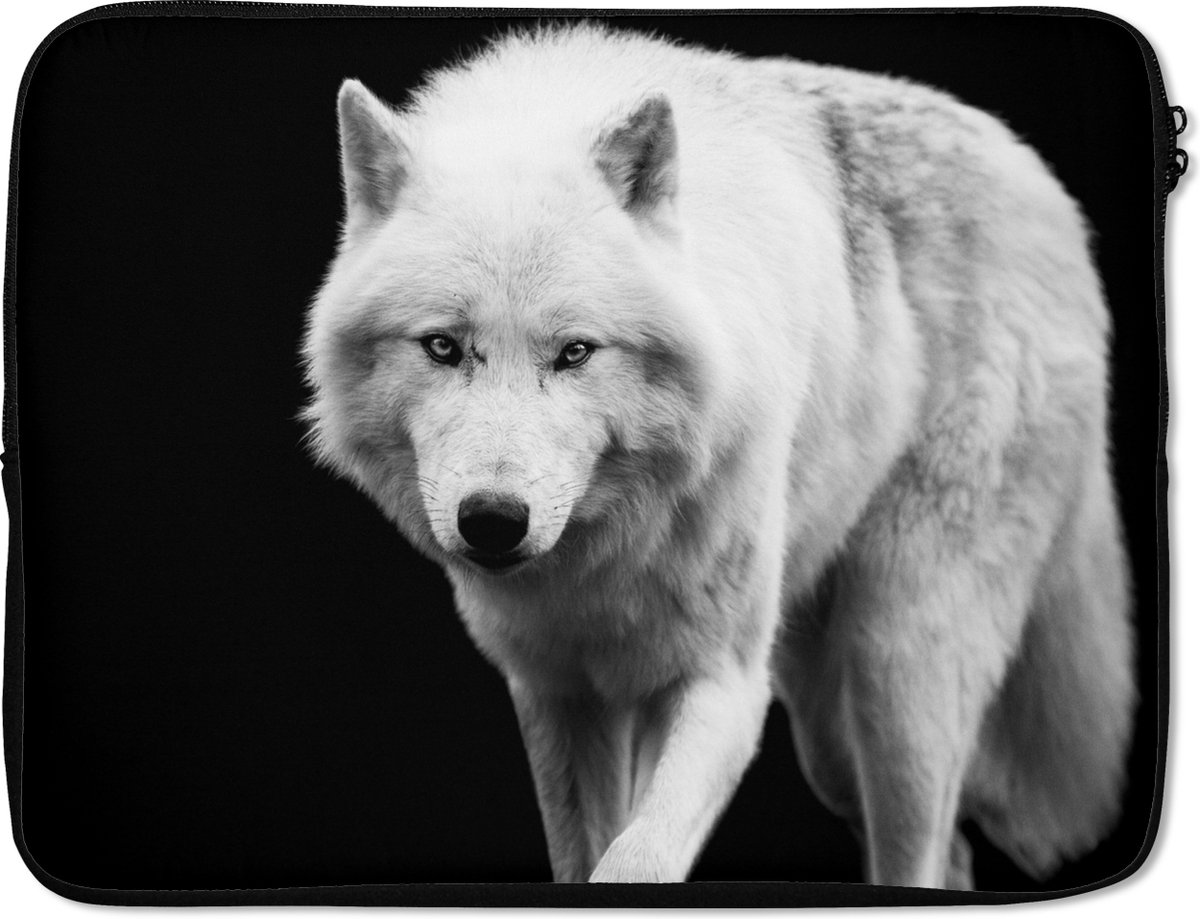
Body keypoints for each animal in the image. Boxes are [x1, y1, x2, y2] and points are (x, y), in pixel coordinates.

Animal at [302, 24, 1134, 888]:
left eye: (574, 352)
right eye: (442, 346)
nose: (494, 521)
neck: (607, 555)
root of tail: (1040, 182)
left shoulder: (723, 685)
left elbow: (636, 858)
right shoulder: (560, 694)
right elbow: (585, 852)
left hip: (896, 675)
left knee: (922, 845)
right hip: (827, 735)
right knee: (954, 851)